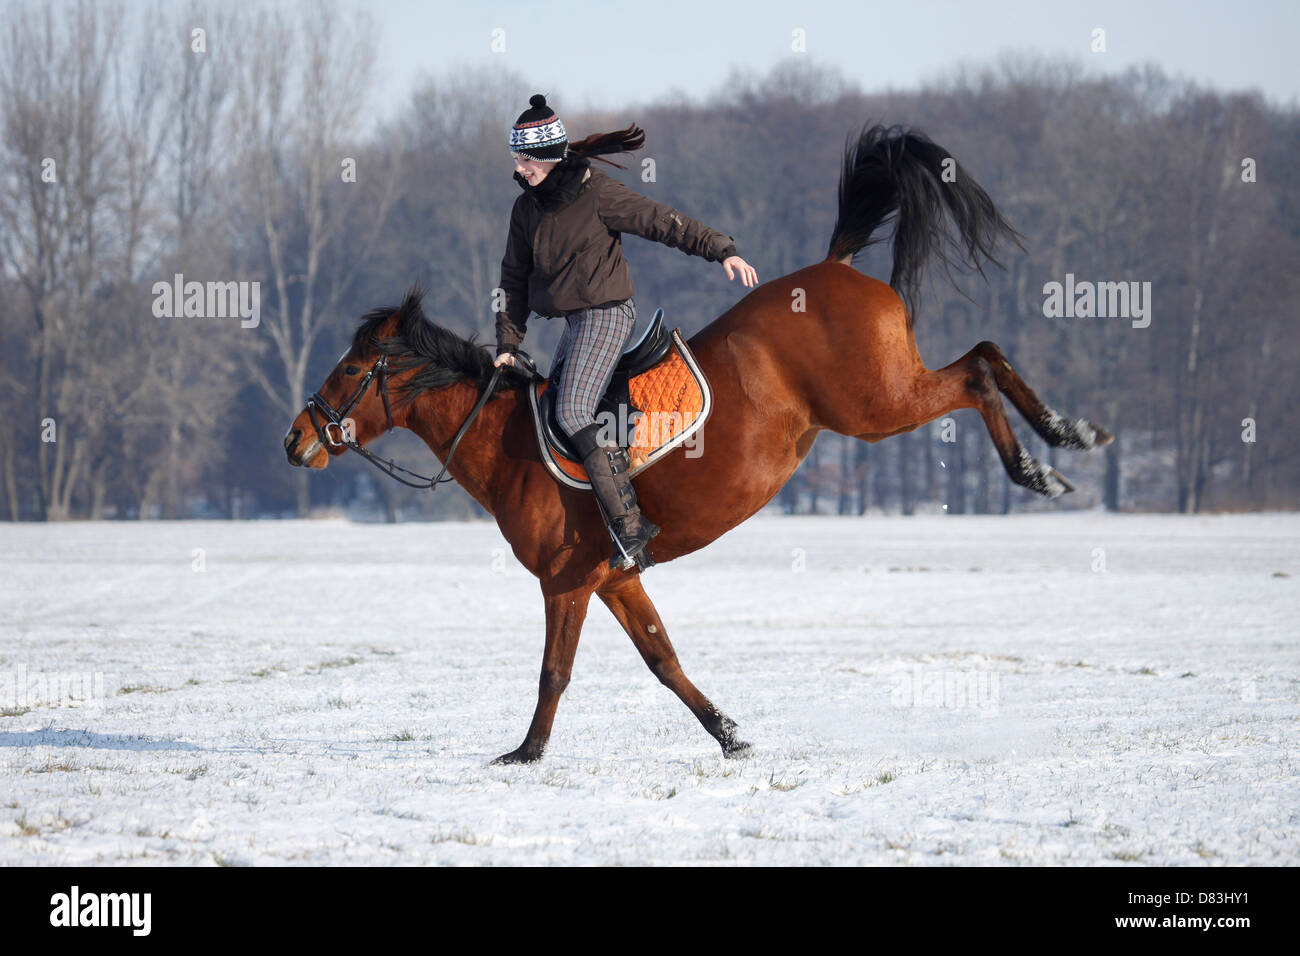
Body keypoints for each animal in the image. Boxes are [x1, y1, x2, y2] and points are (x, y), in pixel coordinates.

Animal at [283, 124, 1113, 764]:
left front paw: (526, 752)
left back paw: (1042, 462)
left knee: (976, 369)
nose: (296, 440)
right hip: (878, 403)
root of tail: (834, 266)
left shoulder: (565, 583)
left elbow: (555, 672)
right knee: (985, 356)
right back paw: (1069, 439)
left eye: (351, 369)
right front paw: (729, 735)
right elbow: (664, 659)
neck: (506, 435)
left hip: (877, 406)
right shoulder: (613, 579)